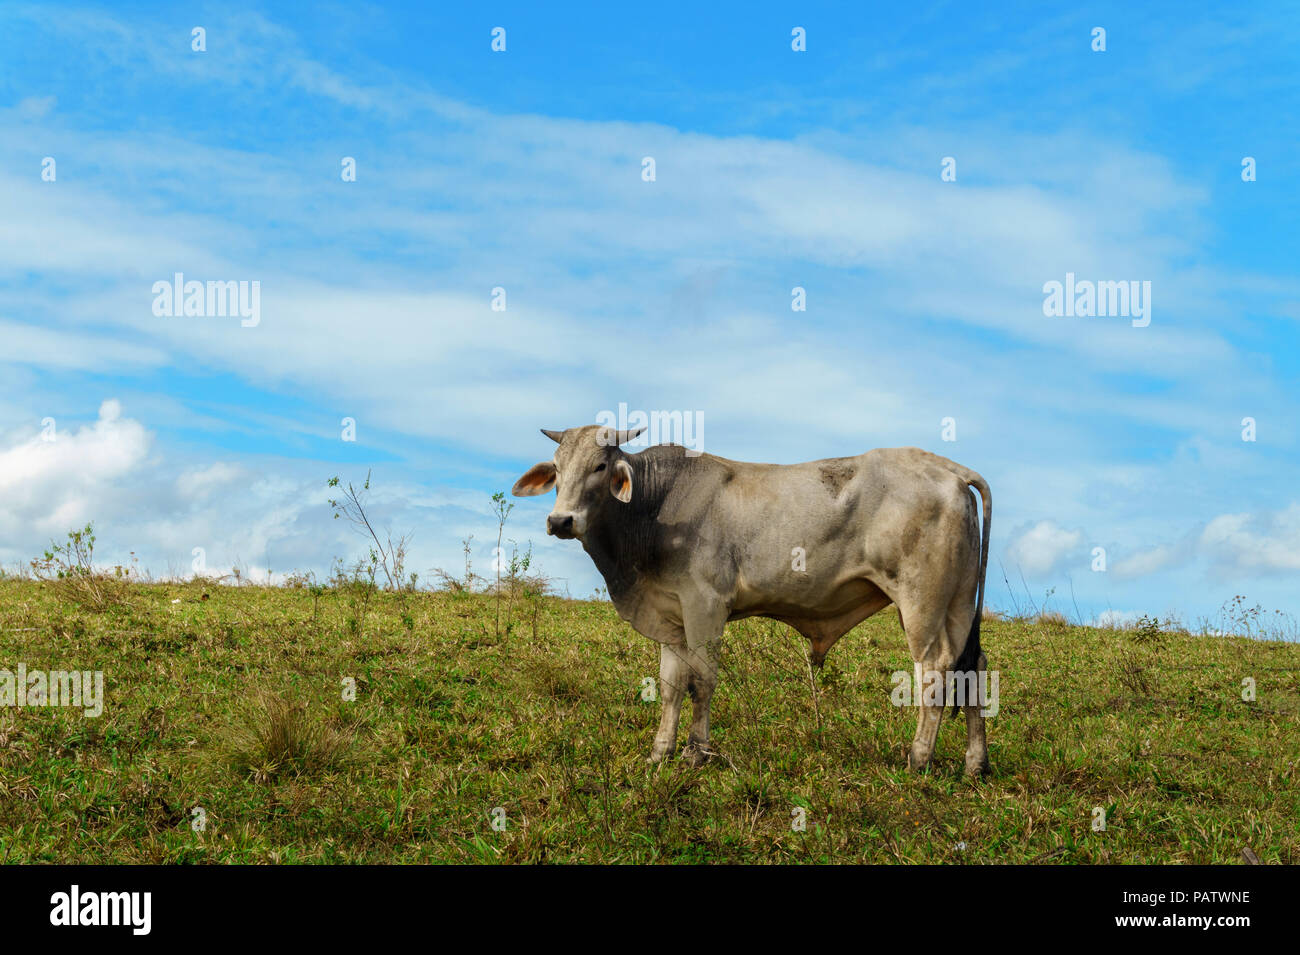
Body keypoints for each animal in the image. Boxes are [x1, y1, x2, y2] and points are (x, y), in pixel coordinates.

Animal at [512, 424, 993, 775]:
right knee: (971, 664)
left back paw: (918, 758)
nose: (560, 520)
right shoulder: (671, 616)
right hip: (958, 604)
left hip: (920, 602)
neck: (655, 507)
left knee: (934, 670)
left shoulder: (705, 606)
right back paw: (975, 763)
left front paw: (695, 753)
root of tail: (950, 469)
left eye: (599, 466)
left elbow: (701, 682)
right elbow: (670, 686)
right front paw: (659, 752)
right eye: (557, 467)